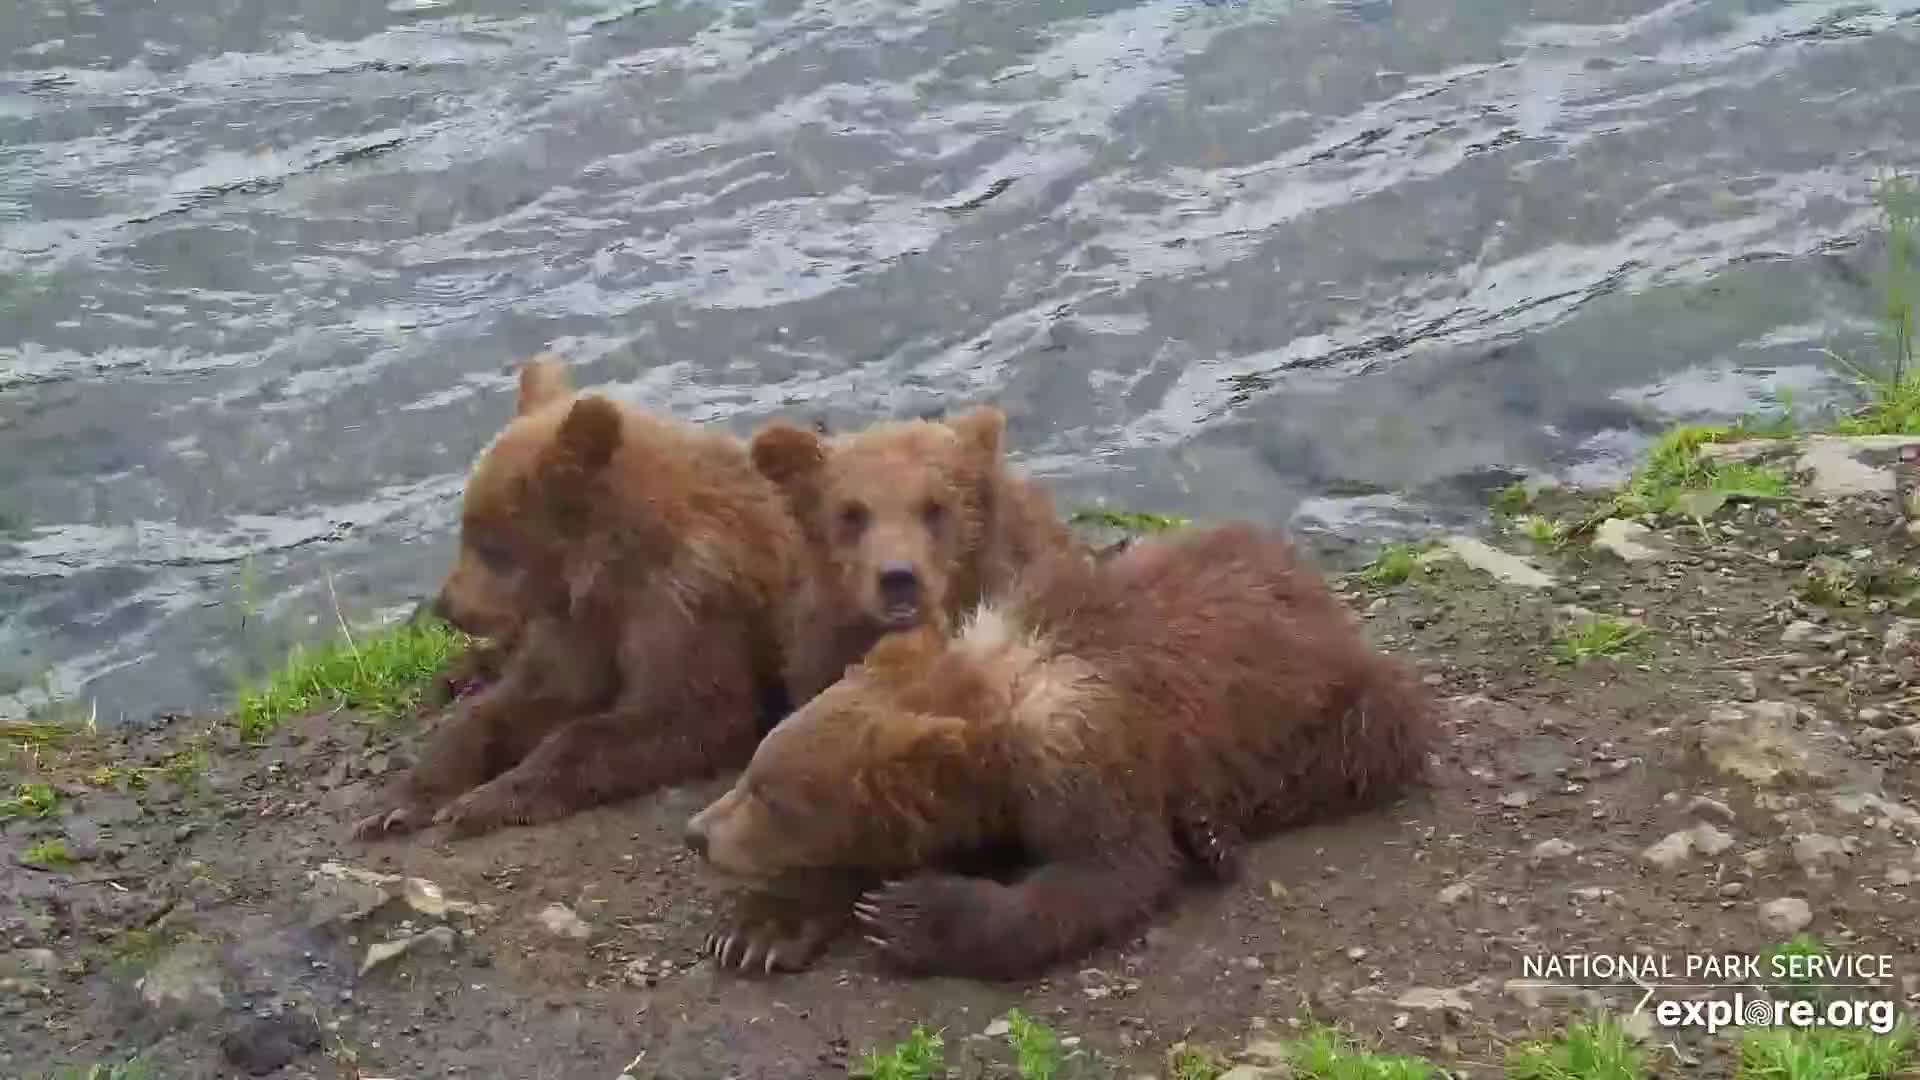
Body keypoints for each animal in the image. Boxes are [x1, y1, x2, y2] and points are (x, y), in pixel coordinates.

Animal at [353, 354, 802, 840]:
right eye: (465, 532)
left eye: (493, 548)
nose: (446, 605)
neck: (604, 574)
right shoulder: (575, 625)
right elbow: (529, 698)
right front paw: (400, 804)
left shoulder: (688, 605)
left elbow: (680, 715)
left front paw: (483, 800)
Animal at [682, 522, 1436, 979]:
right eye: (752, 773)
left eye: (769, 793)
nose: (696, 832)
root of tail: (1317, 587)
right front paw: (761, 928)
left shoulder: (1083, 751)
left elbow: (1104, 872)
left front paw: (909, 913)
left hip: (1338, 699)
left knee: (1358, 744)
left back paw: (1213, 830)